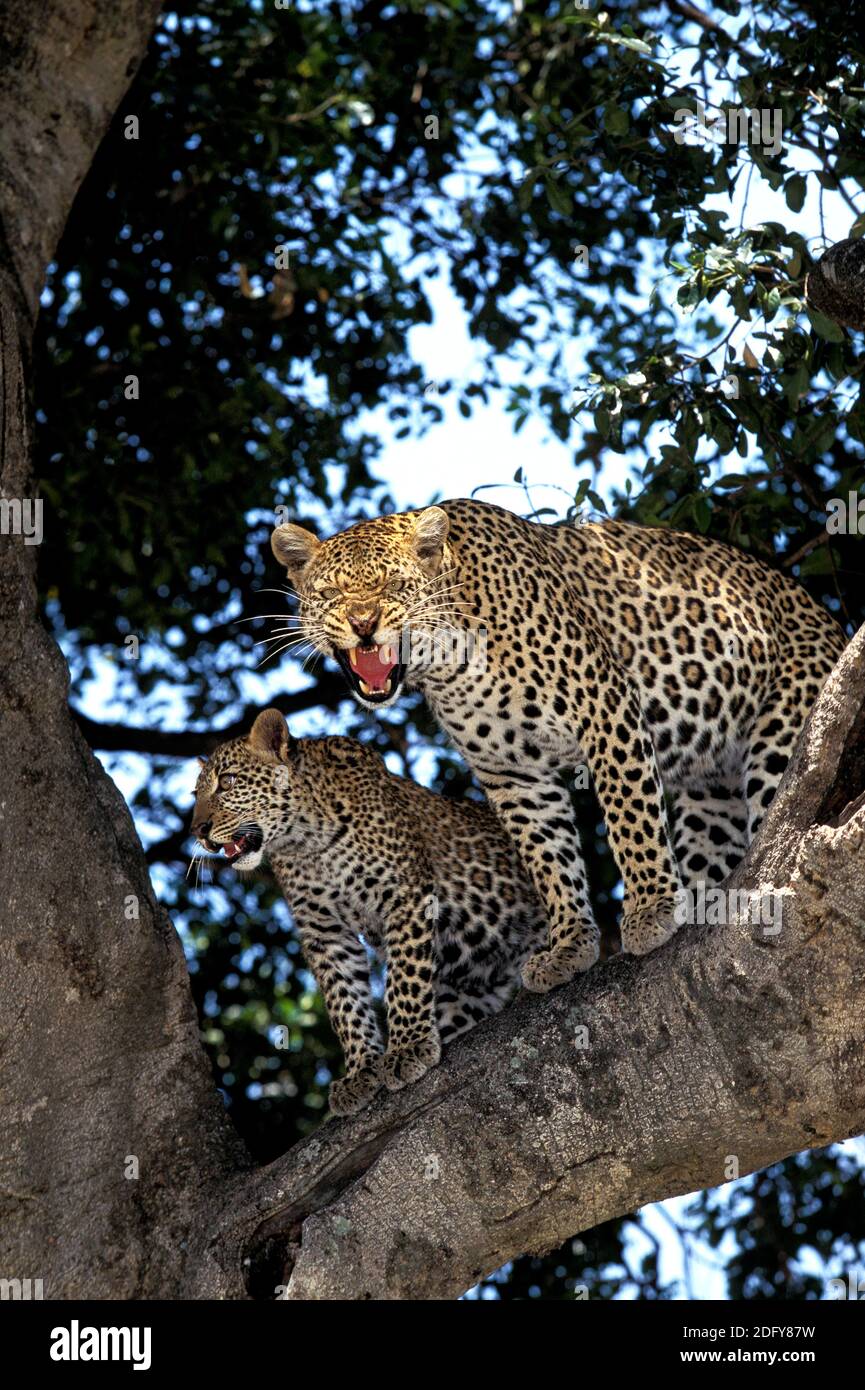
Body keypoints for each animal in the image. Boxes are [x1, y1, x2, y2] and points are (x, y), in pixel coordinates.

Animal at [190, 708, 548, 1115]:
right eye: (195, 796)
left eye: (229, 782)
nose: (198, 830)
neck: (305, 843)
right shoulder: (325, 931)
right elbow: (344, 999)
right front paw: (361, 1070)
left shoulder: (405, 895)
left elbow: (404, 978)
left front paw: (407, 1047)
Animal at [271, 497, 846, 992]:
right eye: (329, 595)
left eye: (393, 584)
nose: (363, 623)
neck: (449, 661)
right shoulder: (510, 772)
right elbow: (548, 857)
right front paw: (570, 944)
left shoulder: (605, 707)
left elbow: (630, 817)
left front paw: (652, 907)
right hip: (712, 794)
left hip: (783, 737)